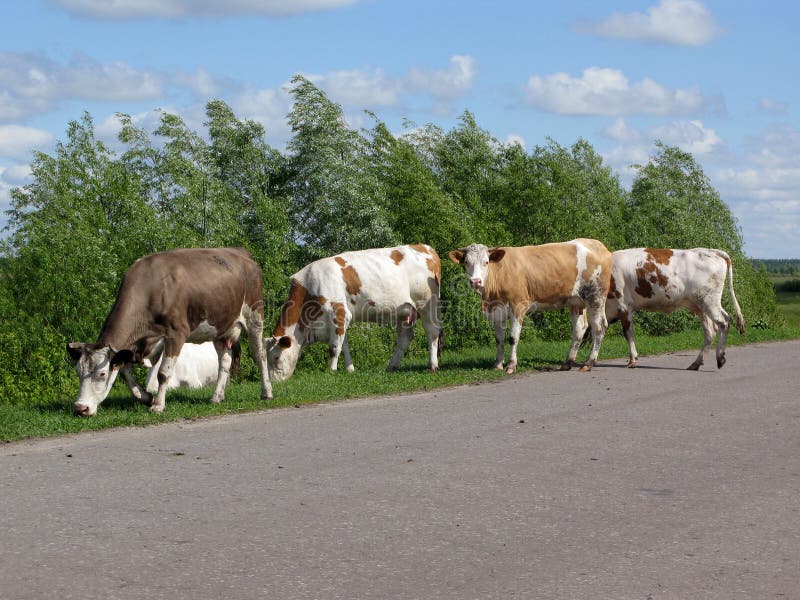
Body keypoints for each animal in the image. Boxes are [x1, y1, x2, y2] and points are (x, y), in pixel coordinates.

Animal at [66, 247, 273, 416]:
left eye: (101, 374)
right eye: (78, 371)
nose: (80, 408)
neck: (151, 288)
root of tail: (241, 253)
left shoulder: (176, 334)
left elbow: (163, 373)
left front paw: (157, 405)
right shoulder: (143, 342)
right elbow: (125, 371)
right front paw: (145, 397)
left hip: (255, 316)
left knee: (259, 354)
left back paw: (267, 392)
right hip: (220, 327)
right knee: (224, 360)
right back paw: (216, 396)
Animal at [266, 244, 442, 380]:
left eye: (276, 357)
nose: (274, 381)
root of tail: (425, 247)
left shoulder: (339, 312)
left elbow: (334, 348)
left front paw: (331, 371)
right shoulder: (339, 321)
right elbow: (344, 346)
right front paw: (350, 369)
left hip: (427, 304)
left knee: (432, 332)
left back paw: (432, 365)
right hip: (403, 310)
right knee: (405, 337)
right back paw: (391, 366)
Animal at [448, 239, 612, 373]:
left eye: (486, 262)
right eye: (466, 262)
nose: (475, 281)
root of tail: (598, 245)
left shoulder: (518, 306)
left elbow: (512, 338)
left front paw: (511, 365)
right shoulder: (497, 311)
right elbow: (499, 339)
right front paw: (498, 364)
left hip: (595, 296)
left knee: (599, 327)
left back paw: (589, 363)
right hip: (575, 301)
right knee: (579, 329)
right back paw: (567, 363)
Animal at [600, 247, 745, 370]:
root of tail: (713, 251)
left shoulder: (624, 306)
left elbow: (628, 333)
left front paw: (632, 360)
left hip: (710, 302)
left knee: (724, 321)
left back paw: (720, 358)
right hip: (701, 305)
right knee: (711, 330)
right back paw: (696, 363)